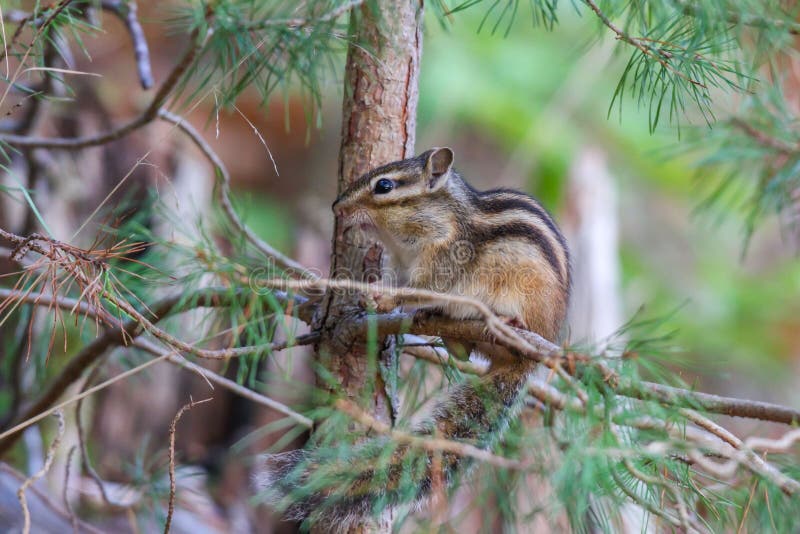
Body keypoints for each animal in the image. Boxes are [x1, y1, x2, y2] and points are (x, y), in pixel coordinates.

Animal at [256, 147, 570, 531]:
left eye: (384, 186)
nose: (336, 207)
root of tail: (527, 361)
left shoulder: (445, 256)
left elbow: (419, 290)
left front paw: (382, 300)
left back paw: (505, 320)